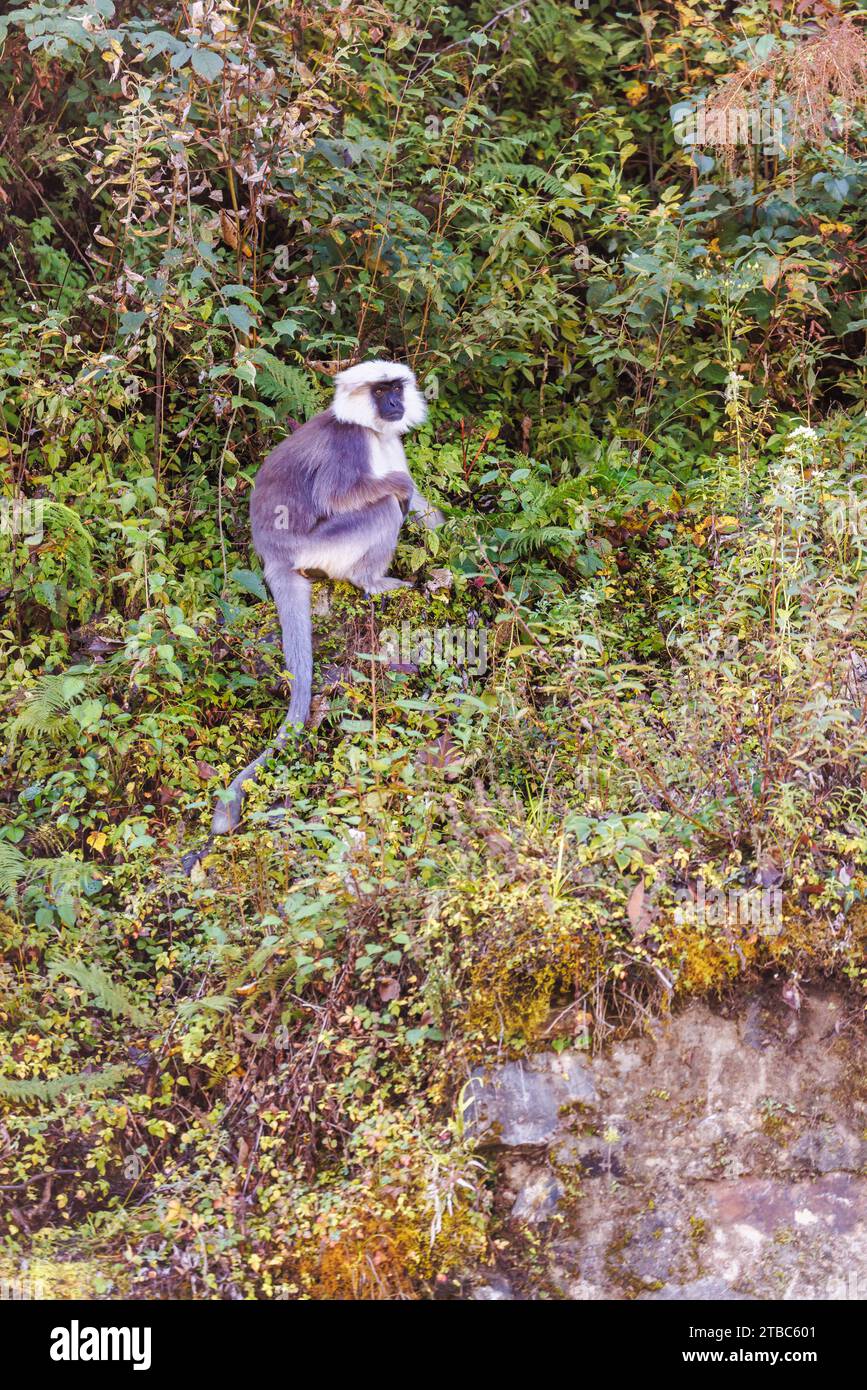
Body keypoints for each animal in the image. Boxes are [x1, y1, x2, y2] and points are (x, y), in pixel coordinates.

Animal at [210, 360, 443, 836]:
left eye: (396, 388)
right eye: (380, 391)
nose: (395, 404)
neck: (369, 428)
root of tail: (274, 557)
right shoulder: (350, 444)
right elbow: (346, 494)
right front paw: (400, 487)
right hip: (320, 548)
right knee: (382, 508)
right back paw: (371, 580)